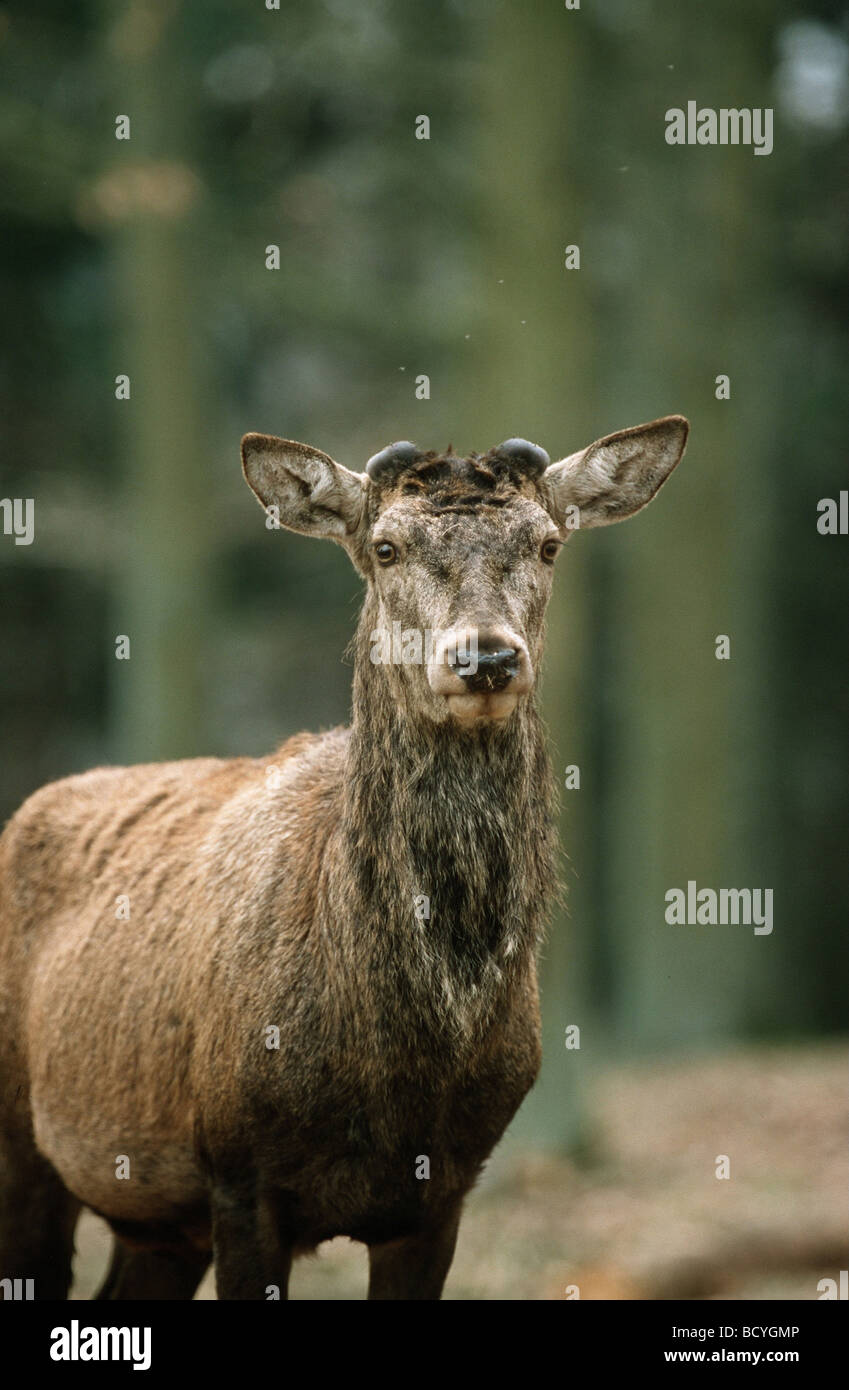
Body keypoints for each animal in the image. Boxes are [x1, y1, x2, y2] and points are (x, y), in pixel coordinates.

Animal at [0, 414, 688, 1300]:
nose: (486, 657)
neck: (400, 1067)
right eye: (386, 547)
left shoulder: (444, 1190)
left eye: (546, 543)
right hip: (23, 1140)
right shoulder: (236, 1170)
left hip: (156, 1218)